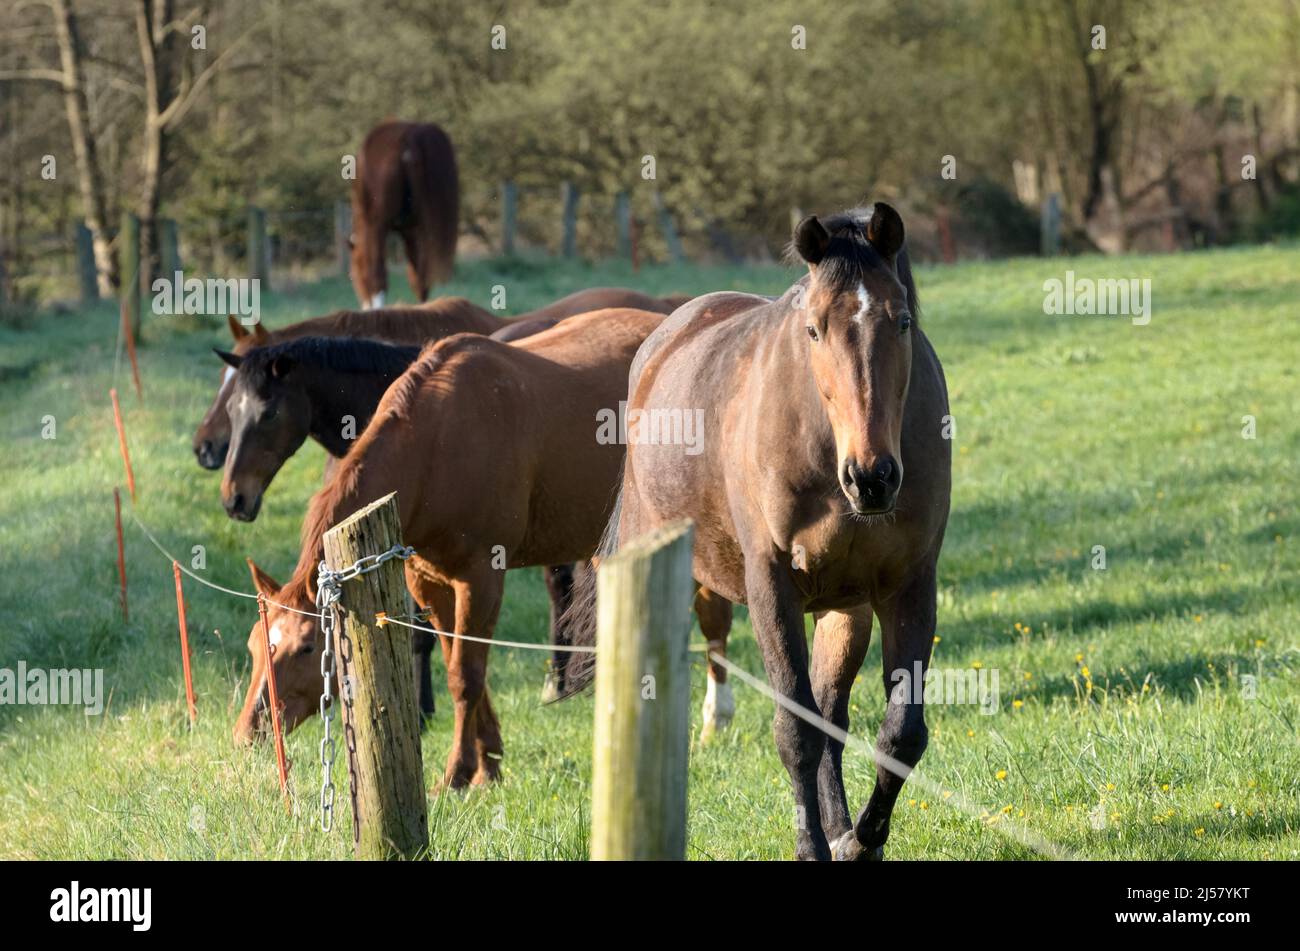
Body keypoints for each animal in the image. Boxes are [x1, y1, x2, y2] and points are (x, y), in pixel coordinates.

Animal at [232, 308, 736, 789]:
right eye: (255, 644)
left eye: (304, 647)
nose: (249, 732)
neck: (434, 445)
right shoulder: (429, 581)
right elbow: (461, 662)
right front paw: (488, 762)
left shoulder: (481, 576)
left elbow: (465, 677)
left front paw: (458, 773)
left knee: (713, 618)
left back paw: (716, 720)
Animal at [350, 121, 458, 309]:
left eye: (354, 273)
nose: (364, 305)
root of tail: (410, 137)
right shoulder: (410, 231)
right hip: (423, 227)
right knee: (422, 279)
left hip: (380, 225)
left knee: (379, 276)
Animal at [563, 204, 950, 861]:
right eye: (814, 330)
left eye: (901, 322)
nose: (871, 477)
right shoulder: (772, 584)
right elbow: (795, 731)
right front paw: (812, 847)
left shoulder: (909, 585)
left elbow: (900, 735)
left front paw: (859, 842)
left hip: (845, 611)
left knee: (832, 717)